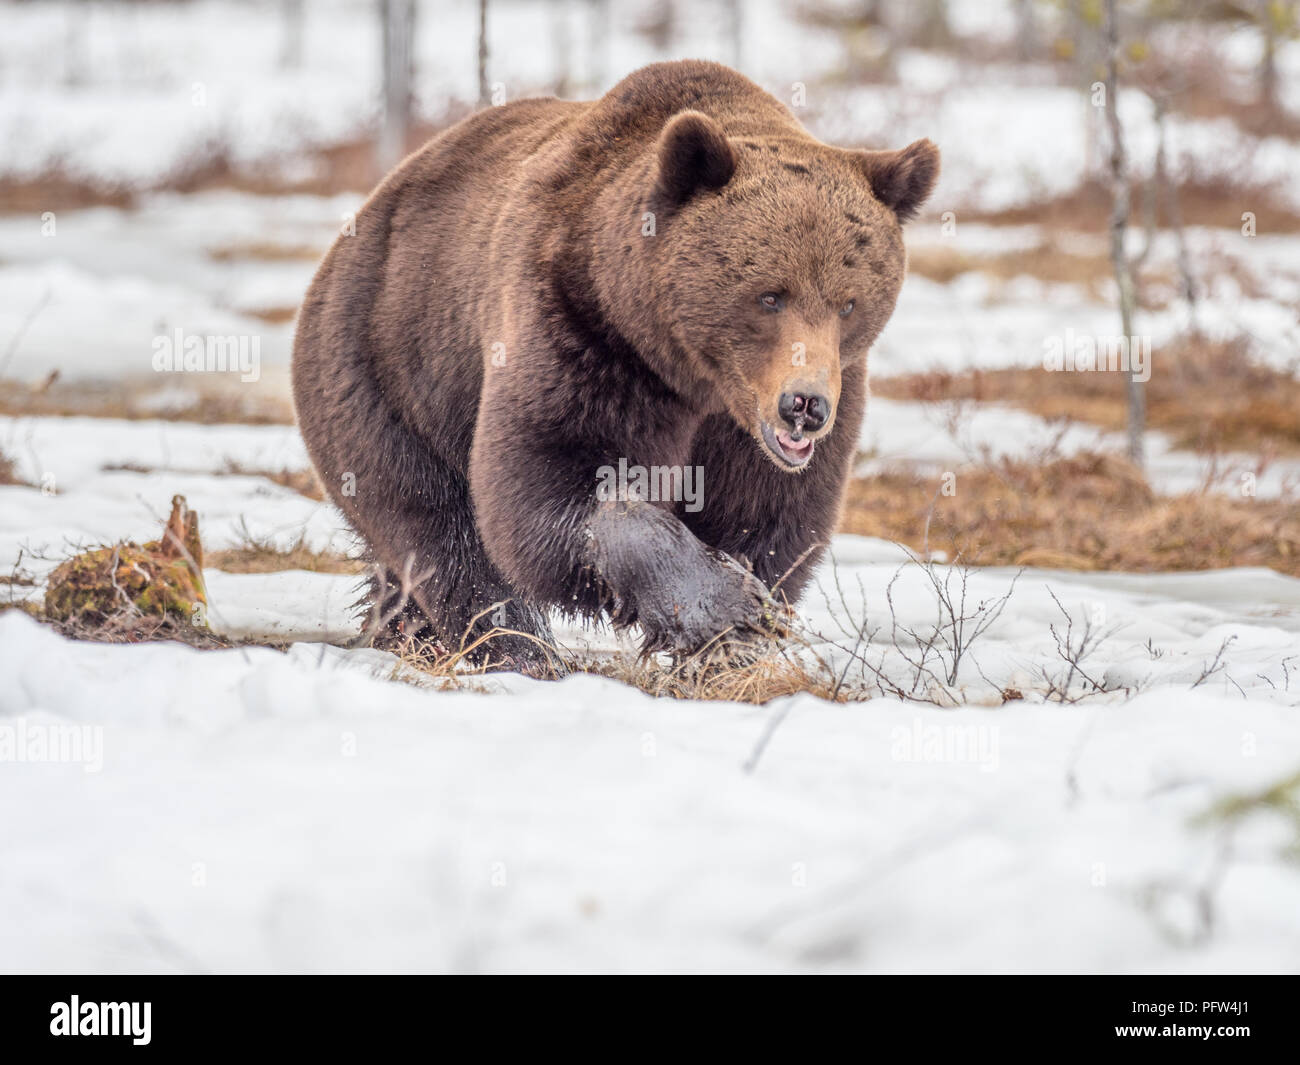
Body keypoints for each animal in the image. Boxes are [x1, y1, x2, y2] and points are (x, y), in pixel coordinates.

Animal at [292, 59, 938, 669]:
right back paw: (515, 649)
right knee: (440, 532)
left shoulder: (773, 422)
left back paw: (404, 631)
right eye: (770, 294)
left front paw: (736, 639)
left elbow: (769, 520)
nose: (803, 406)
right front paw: (720, 609)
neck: (689, 371)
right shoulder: (575, 329)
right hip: (386, 371)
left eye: (848, 302)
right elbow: (546, 485)